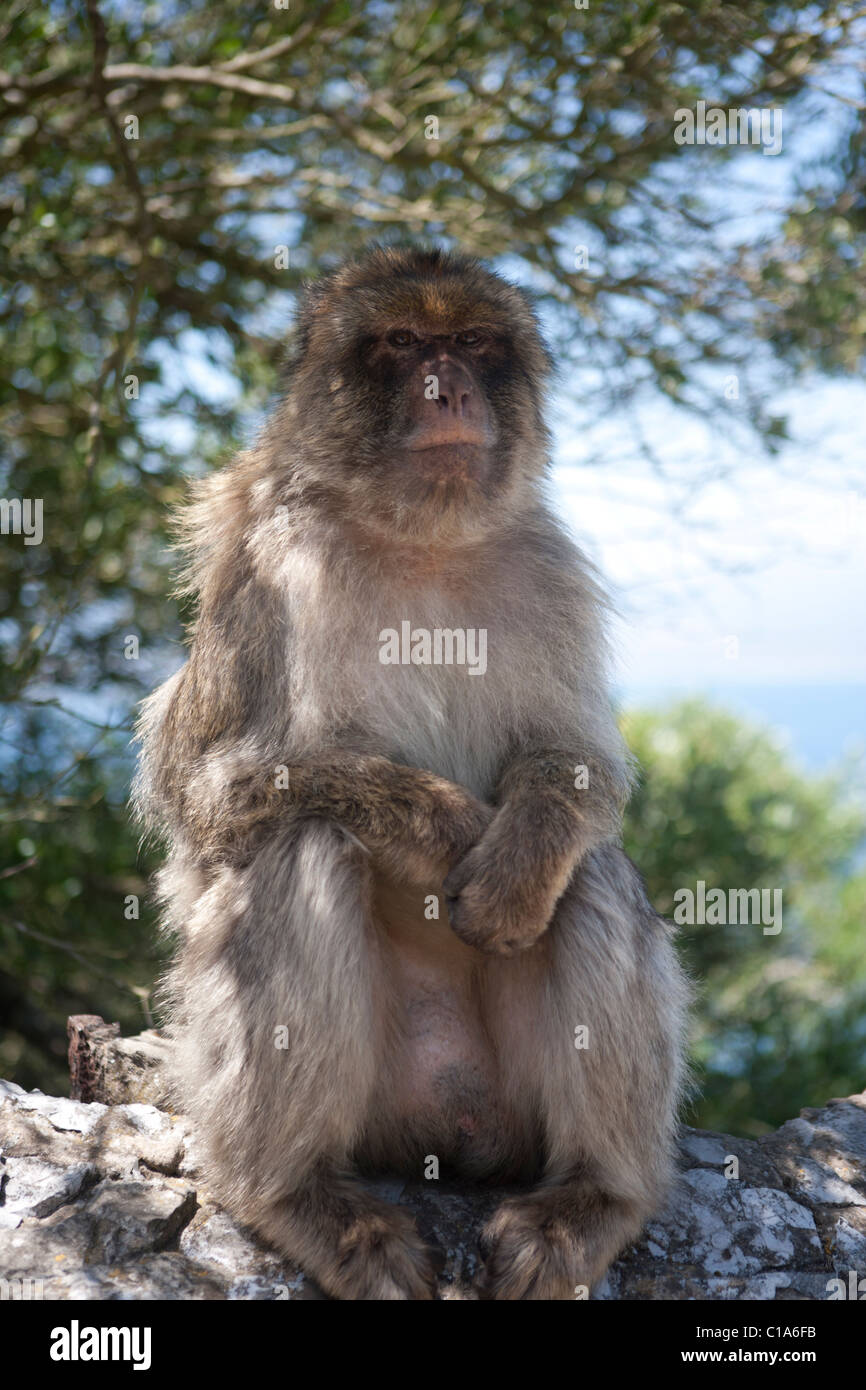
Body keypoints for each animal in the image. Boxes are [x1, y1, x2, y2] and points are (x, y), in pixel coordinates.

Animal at [134, 245, 689, 1300]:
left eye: (471, 340)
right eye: (399, 344)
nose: (448, 388)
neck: (420, 541)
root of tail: (448, 1128)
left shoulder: (550, 569)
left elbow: (579, 771)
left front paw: (515, 861)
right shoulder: (275, 574)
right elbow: (213, 795)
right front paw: (442, 827)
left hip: (513, 1105)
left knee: (595, 873)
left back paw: (596, 1198)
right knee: (304, 845)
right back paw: (294, 1196)